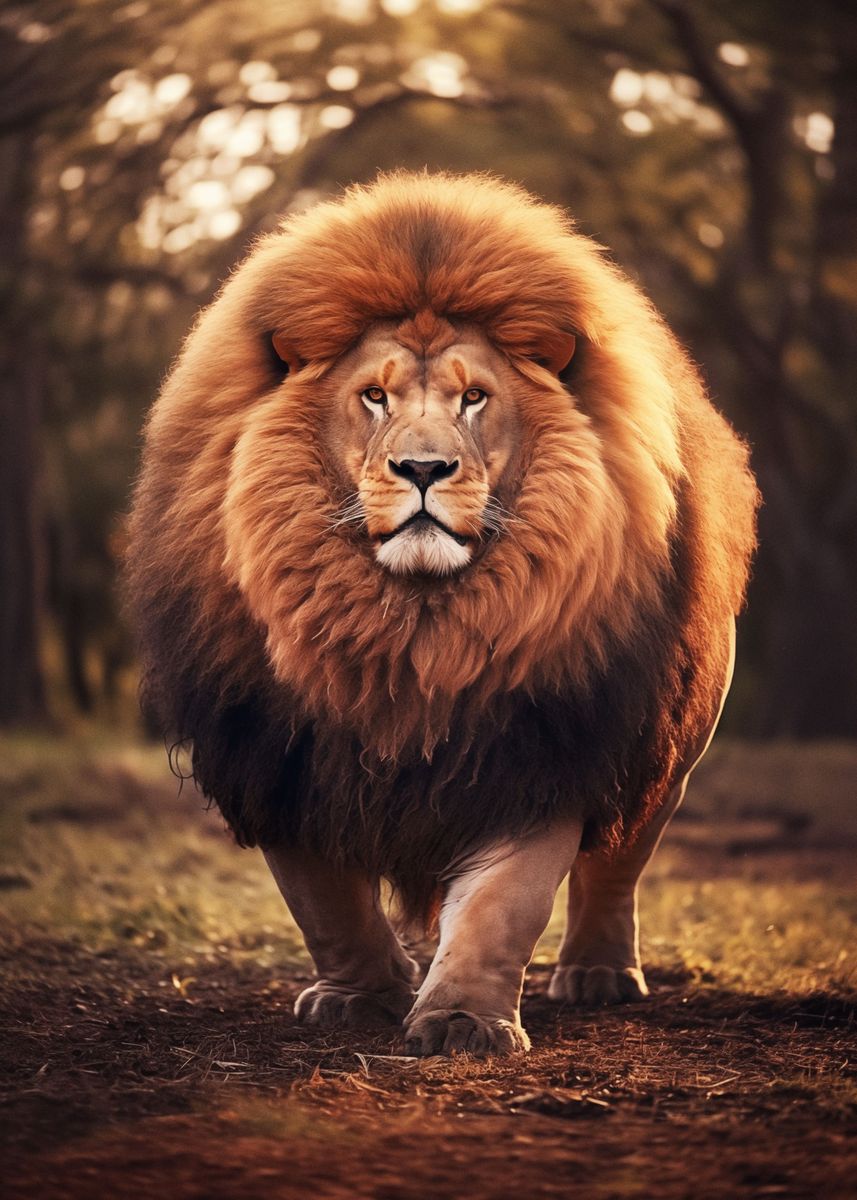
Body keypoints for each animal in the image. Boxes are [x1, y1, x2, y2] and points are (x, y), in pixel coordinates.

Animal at [126, 171, 758, 1056]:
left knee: (617, 864)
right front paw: (360, 997)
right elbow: (323, 899)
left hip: (665, 743)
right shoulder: (274, 749)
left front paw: (460, 1021)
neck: (413, 631)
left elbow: (504, 902)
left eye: (473, 398)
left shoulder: (536, 748)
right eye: (373, 395)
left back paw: (598, 974)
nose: (421, 467)